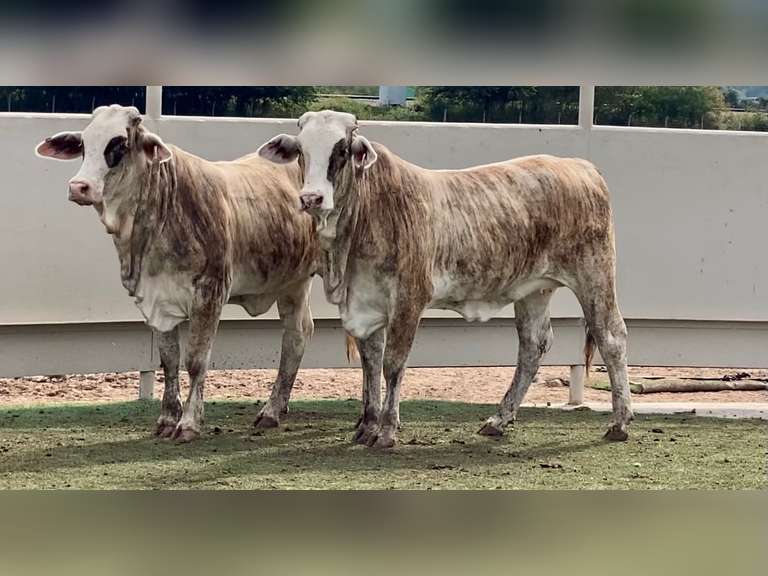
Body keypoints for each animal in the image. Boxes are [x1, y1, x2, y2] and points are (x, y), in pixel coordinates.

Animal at [36, 104, 317, 442]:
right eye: (83, 145)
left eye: (119, 144)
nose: (78, 187)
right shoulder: (155, 298)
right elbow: (169, 359)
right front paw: (168, 418)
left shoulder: (211, 293)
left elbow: (195, 360)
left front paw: (189, 423)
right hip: (294, 283)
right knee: (297, 336)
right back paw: (276, 409)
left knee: (299, 337)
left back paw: (275, 410)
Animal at [257, 110, 633, 449]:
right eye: (302, 151)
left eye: (342, 149)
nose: (312, 198)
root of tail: (580, 167)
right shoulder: (365, 303)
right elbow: (371, 363)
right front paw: (367, 426)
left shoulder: (409, 300)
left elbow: (393, 363)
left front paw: (387, 431)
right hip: (534, 289)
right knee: (533, 344)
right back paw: (499, 419)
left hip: (594, 274)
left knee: (611, 337)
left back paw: (620, 422)